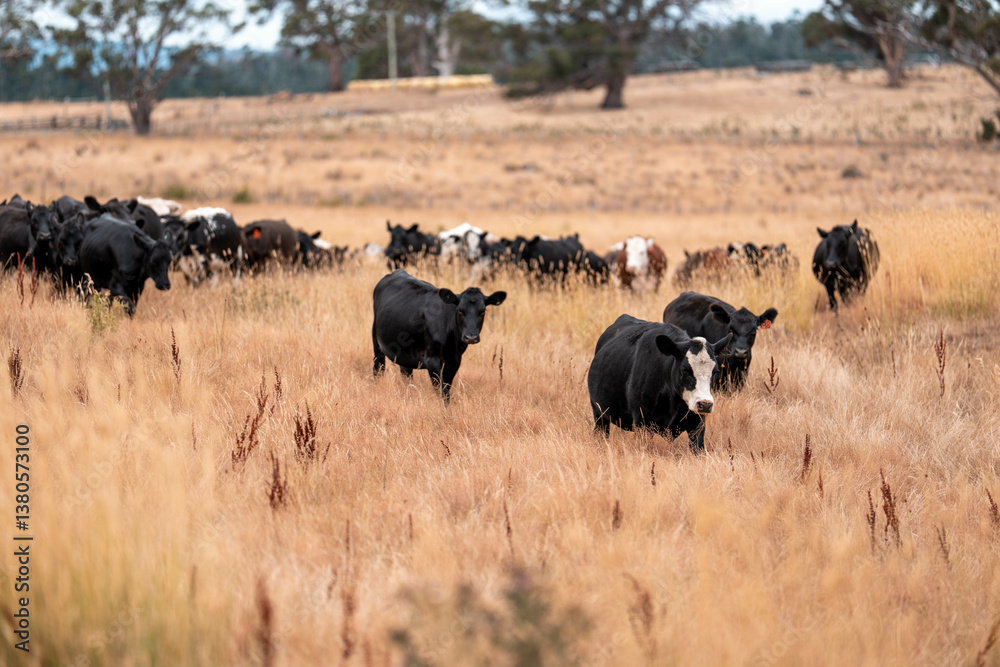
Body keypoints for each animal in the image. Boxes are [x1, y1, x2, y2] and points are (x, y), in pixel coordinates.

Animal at [372, 269, 507, 402]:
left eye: (482, 311)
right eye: (460, 310)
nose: (471, 337)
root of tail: (396, 272)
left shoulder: (454, 360)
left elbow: (447, 386)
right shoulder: (431, 360)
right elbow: (443, 392)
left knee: (406, 375)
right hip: (376, 342)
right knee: (378, 369)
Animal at [587, 314, 731, 453]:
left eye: (715, 370)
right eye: (684, 370)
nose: (705, 405)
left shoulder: (698, 424)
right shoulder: (642, 422)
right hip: (599, 414)